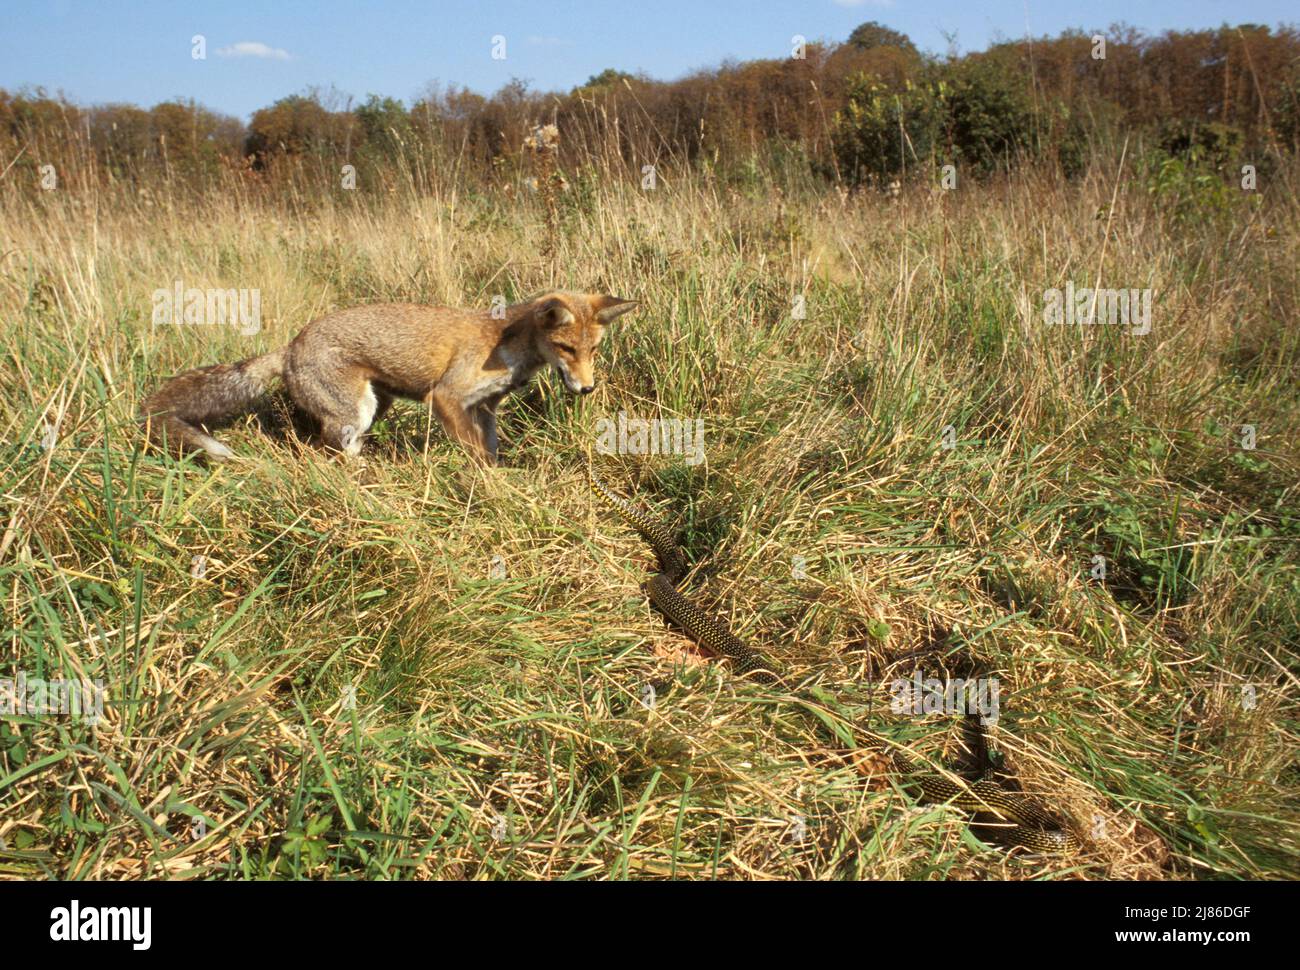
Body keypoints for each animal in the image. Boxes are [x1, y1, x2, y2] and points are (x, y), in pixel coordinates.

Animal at [140, 291, 637, 465]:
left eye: (593, 351)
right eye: (567, 349)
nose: (587, 388)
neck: (506, 341)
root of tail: (292, 344)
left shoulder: (484, 409)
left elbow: (491, 452)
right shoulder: (446, 397)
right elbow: (477, 456)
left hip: (377, 409)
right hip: (354, 415)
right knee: (325, 454)